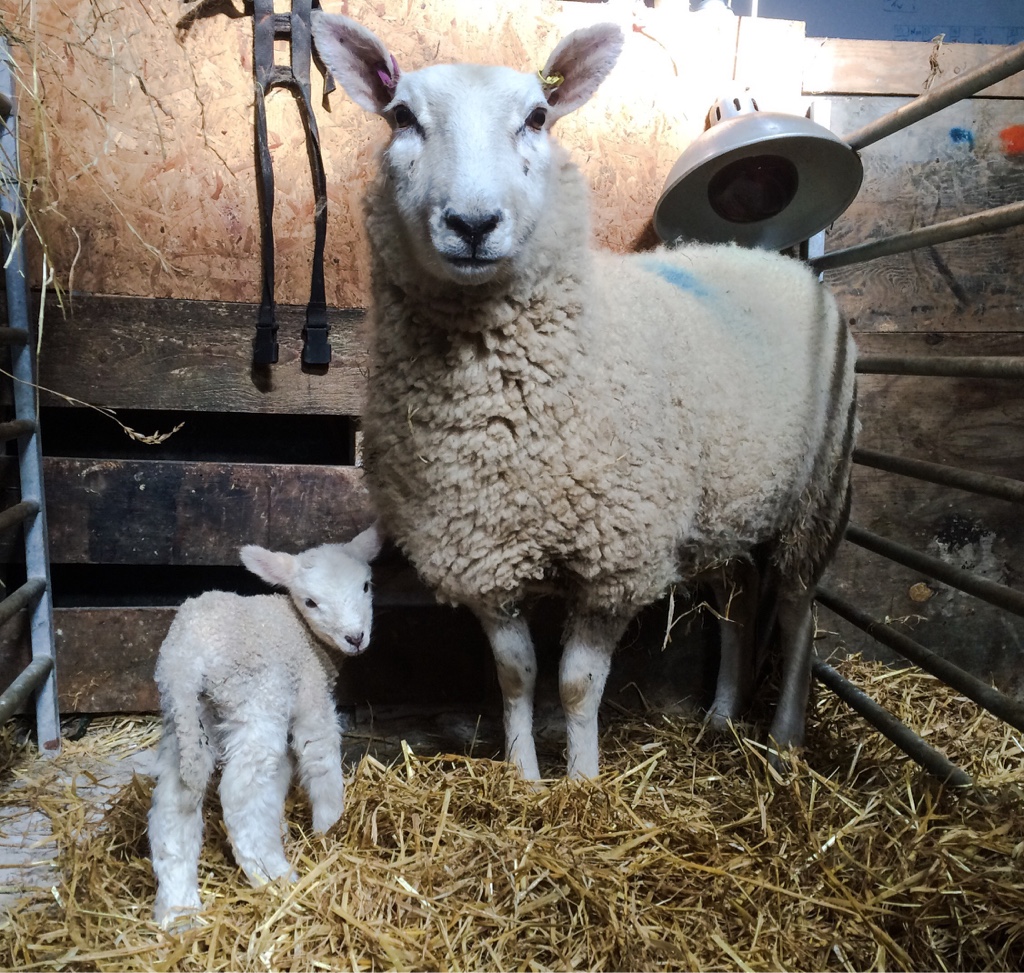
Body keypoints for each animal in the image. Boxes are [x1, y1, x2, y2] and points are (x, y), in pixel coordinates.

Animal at [148, 524, 382, 927]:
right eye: (310, 602)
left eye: (366, 586)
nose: (355, 638)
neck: (301, 629)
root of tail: (185, 657)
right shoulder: (310, 696)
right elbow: (319, 757)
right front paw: (329, 825)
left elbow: (282, 776)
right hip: (256, 701)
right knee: (239, 793)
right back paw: (274, 876)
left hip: (186, 717)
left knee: (174, 800)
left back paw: (179, 910)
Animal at [310, 13, 857, 780]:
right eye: (402, 118)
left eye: (537, 117)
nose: (472, 224)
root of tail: (771, 261)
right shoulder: (484, 550)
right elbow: (515, 674)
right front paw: (526, 776)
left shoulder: (617, 555)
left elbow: (576, 682)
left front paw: (584, 778)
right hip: (729, 504)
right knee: (740, 603)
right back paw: (722, 717)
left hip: (816, 497)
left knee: (799, 611)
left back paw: (783, 741)